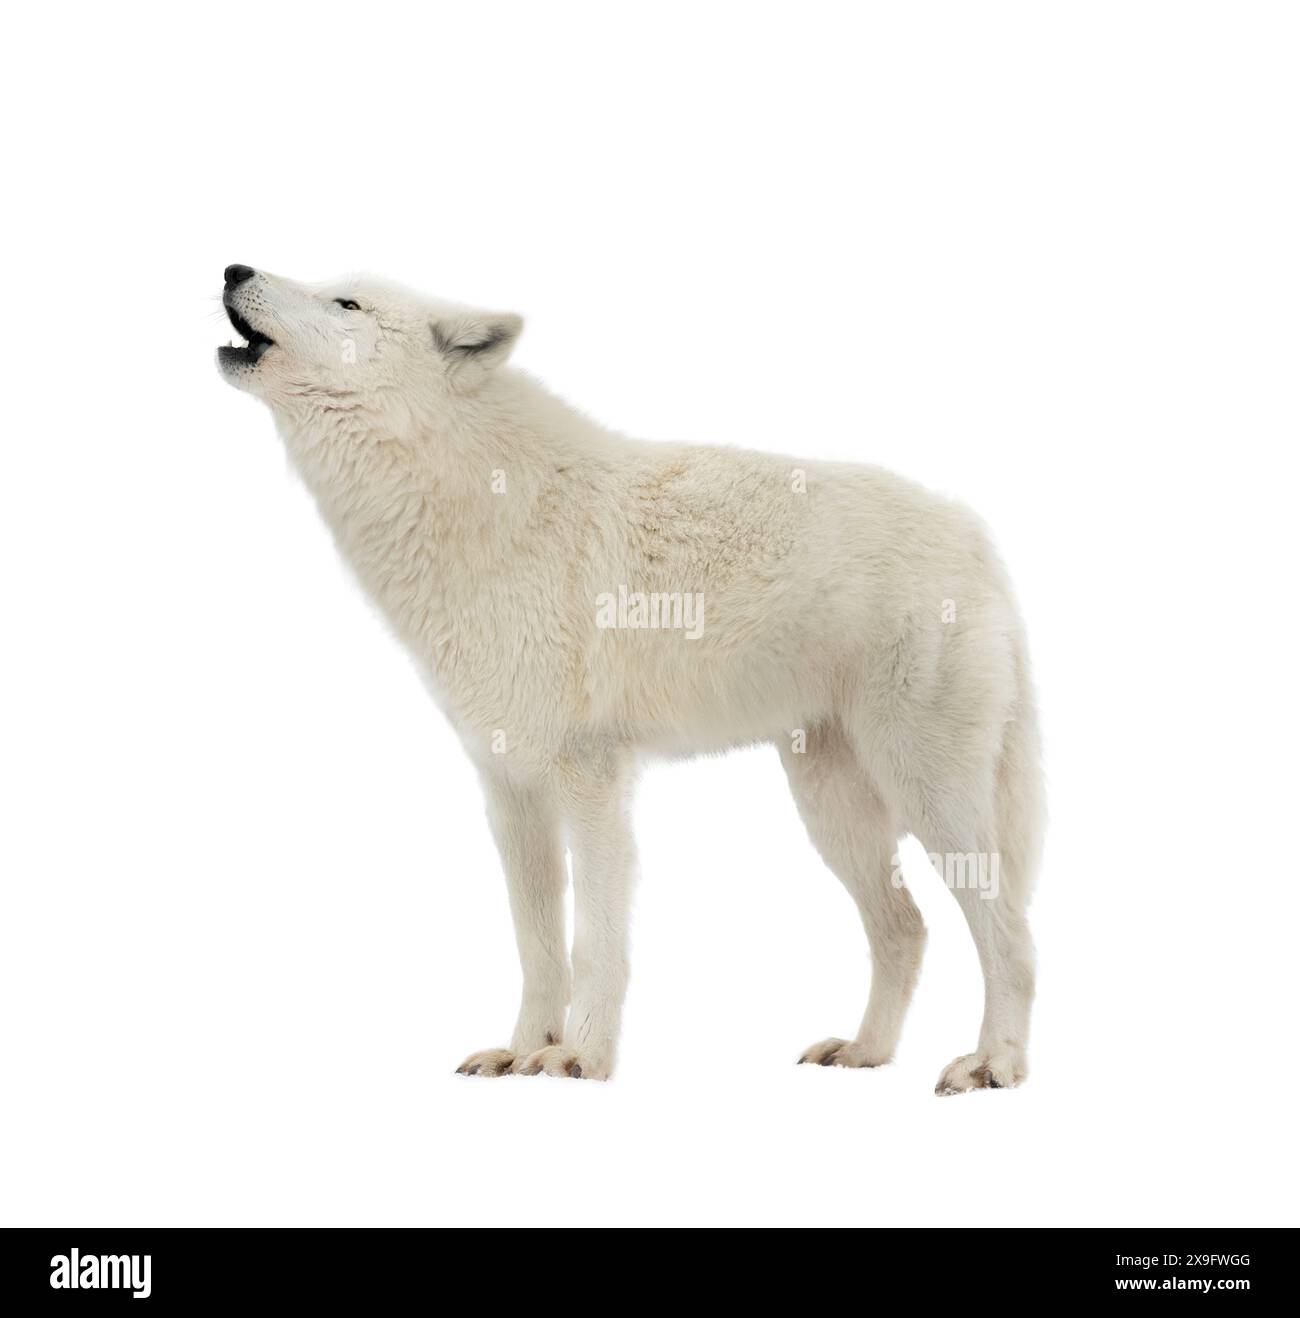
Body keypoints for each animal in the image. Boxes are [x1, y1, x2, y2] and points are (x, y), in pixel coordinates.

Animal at [217, 264, 1044, 1092]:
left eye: (345, 302)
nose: (233, 269)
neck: (475, 499)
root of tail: (977, 536)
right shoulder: (509, 790)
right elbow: (537, 947)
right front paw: (519, 1050)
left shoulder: (590, 778)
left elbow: (595, 943)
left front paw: (579, 1056)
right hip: (833, 811)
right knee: (907, 928)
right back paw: (865, 1052)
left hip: (931, 796)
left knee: (1011, 934)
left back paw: (992, 1063)